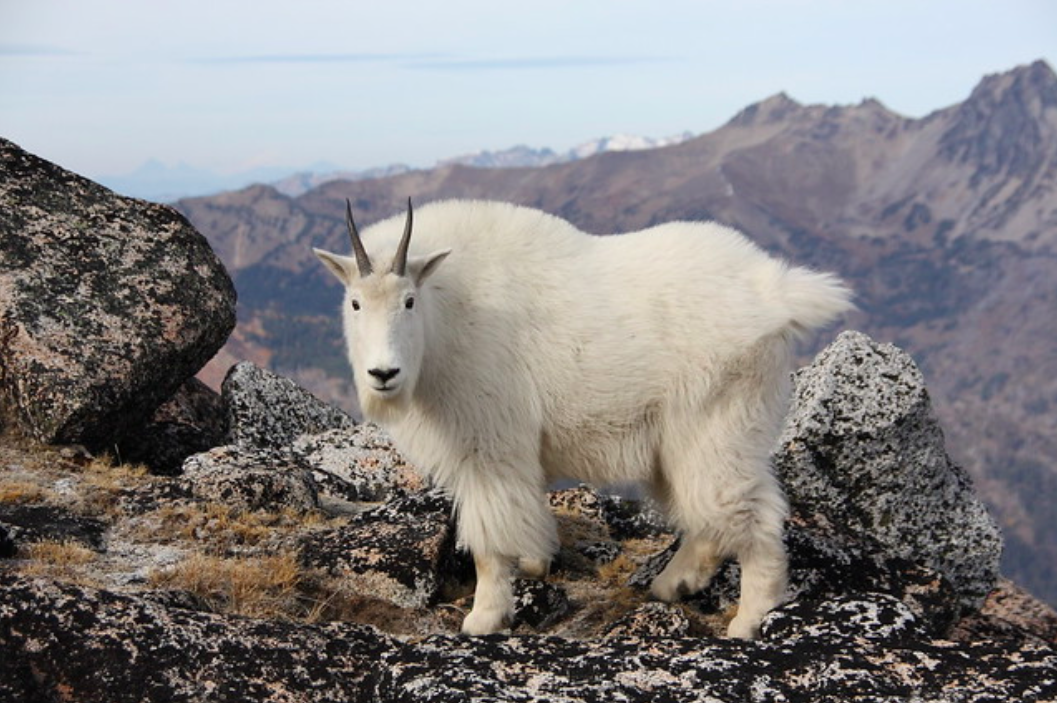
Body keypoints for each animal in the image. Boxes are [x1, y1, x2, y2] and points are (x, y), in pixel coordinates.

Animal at [310, 195, 849, 634]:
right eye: (355, 303)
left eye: (408, 300)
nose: (383, 373)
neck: (445, 315)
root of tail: (775, 292)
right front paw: (535, 564)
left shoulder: (489, 445)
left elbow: (488, 543)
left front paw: (484, 618)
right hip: (681, 442)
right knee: (710, 517)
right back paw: (671, 585)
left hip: (718, 423)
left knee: (751, 514)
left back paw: (750, 619)